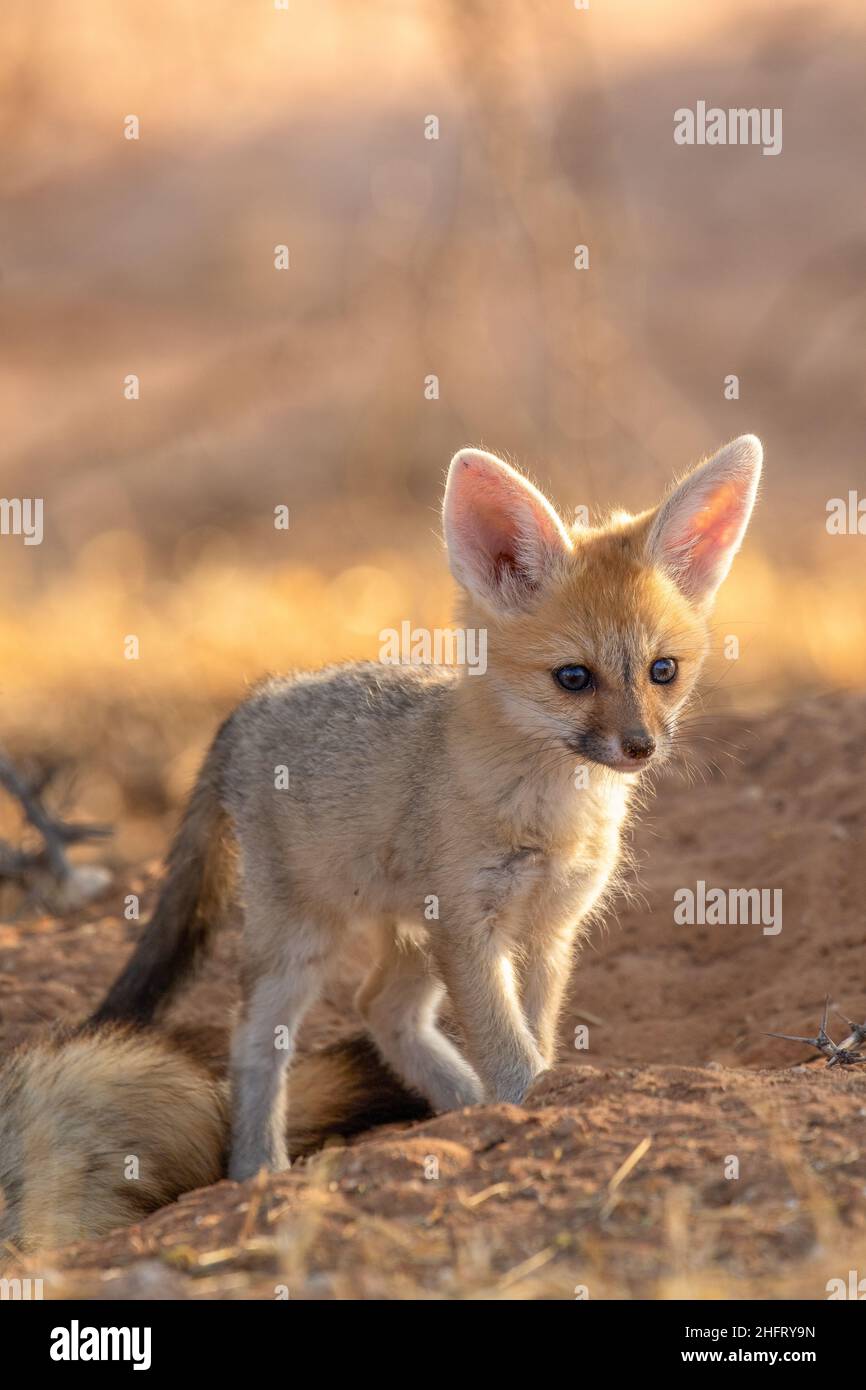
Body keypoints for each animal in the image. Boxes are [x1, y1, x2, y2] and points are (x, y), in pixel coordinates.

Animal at [92, 436, 763, 1182]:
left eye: (662, 671)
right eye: (574, 678)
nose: (640, 747)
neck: (550, 815)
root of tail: (258, 697)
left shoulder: (546, 931)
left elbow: (534, 1038)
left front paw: (534, 1101)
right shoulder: (470, 930)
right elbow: (509, 1050)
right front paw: (527, 1108)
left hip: (411, 934)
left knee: (382, 1010)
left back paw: (461, 1105)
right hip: (303, 937)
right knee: (254, 1041)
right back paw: (258, 1169)